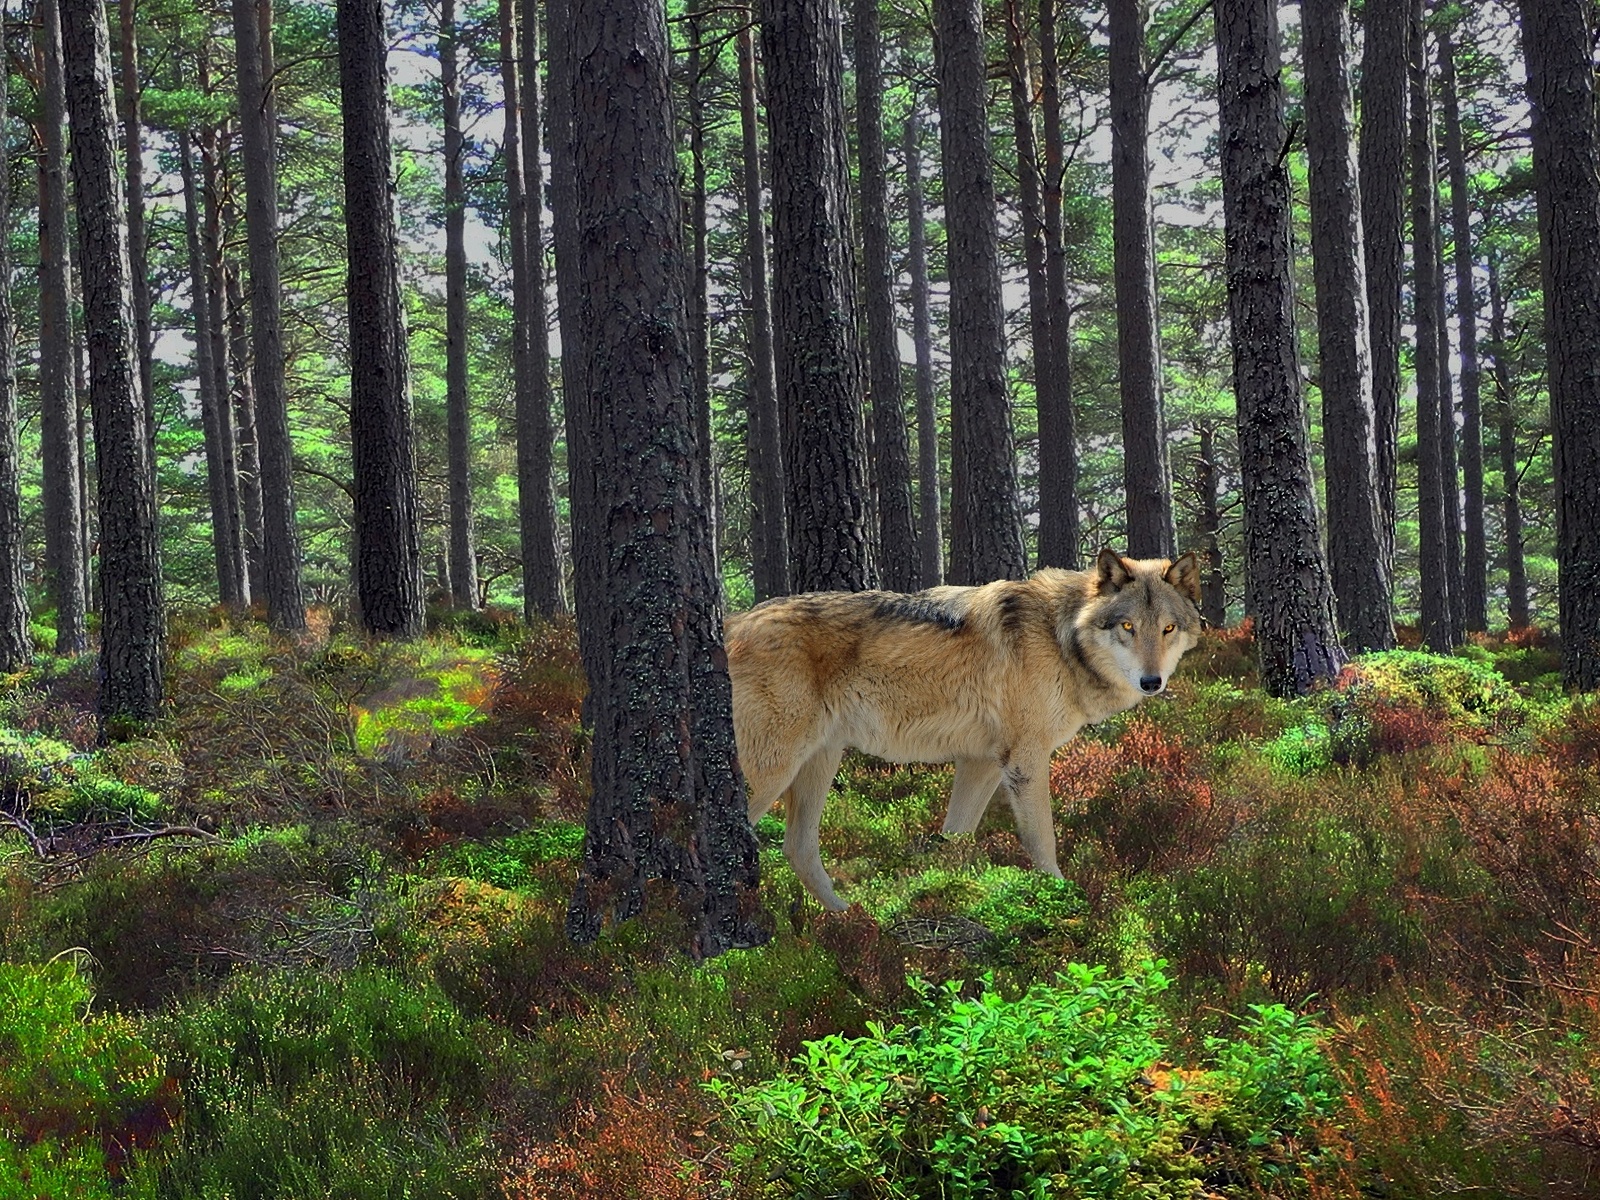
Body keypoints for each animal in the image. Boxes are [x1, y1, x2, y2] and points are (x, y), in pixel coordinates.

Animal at [726, 548, 1204, 911]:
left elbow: (954, 837)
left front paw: (946, 891)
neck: (1059, 637)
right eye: (1128, 627)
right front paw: (1063, 901)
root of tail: (731, 622)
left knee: (798, 849)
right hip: (771, 772)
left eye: (1167, 628)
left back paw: (851, 924)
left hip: (818, 764)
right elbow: (1043, 843)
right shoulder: (1024, 762)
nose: (1151, 682)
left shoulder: (981, 764)